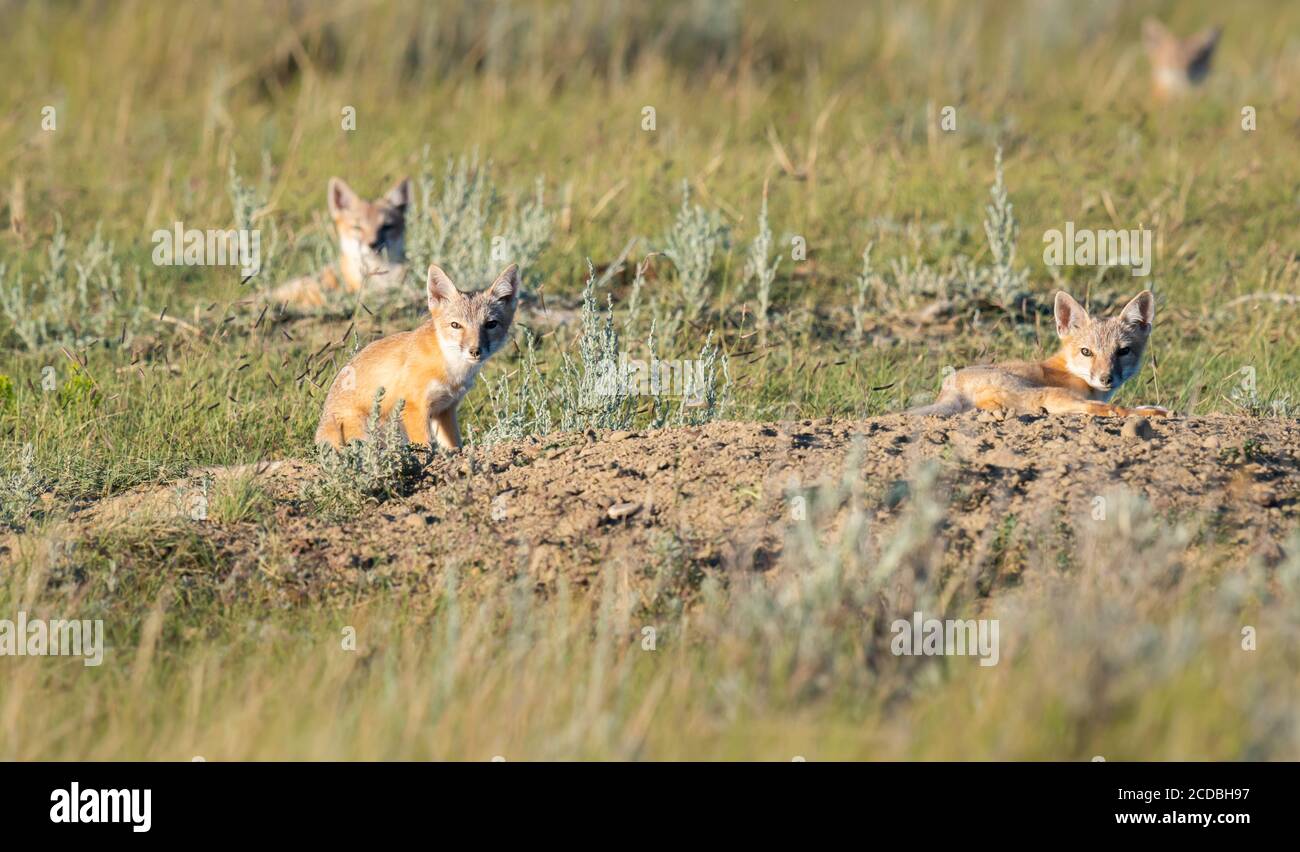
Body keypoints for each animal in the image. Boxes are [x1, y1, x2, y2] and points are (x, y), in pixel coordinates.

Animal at [315, 262, 520, 449]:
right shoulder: (414, 409)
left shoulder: (445, 410)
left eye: (491, 324)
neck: (452, 370)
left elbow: (455, 446)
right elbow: (427, 445)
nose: (475, 351)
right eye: (455, 325)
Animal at [906, 290, 1171, 419]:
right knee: (1108, 409)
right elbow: (1107, 406)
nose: (1106, 379)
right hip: (1051, 395)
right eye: (1086, 352)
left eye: (1123, 351)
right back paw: (1156, 413)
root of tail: (950, 385)